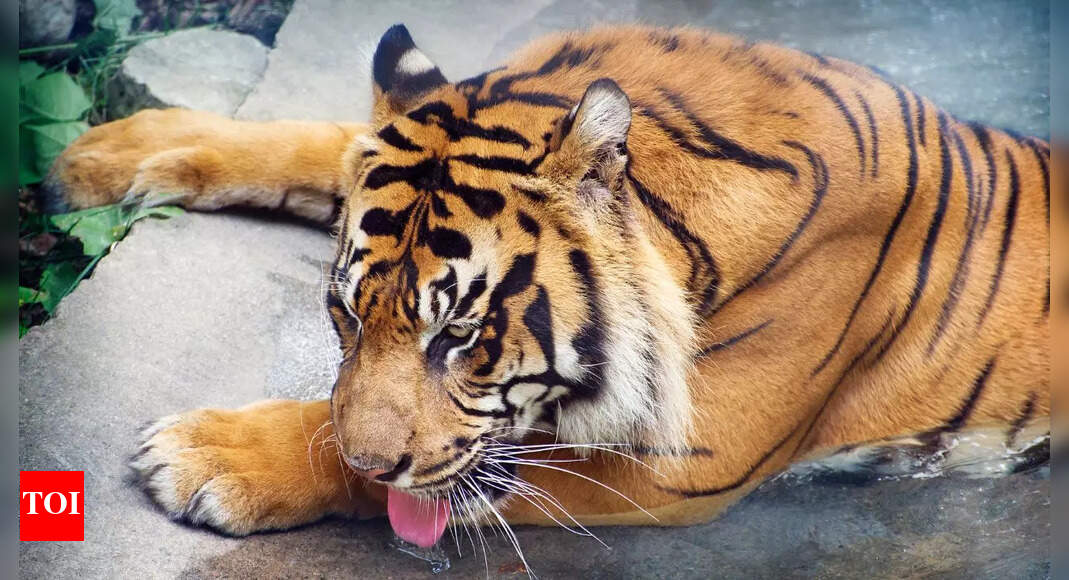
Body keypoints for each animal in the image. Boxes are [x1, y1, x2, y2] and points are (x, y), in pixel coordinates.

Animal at [43, 24, 1050, 557]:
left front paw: (206, 456)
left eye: (459, 337)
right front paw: (115, 150)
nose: (373, 461)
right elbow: (318, 139)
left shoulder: (684, 461)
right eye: (343, 312)